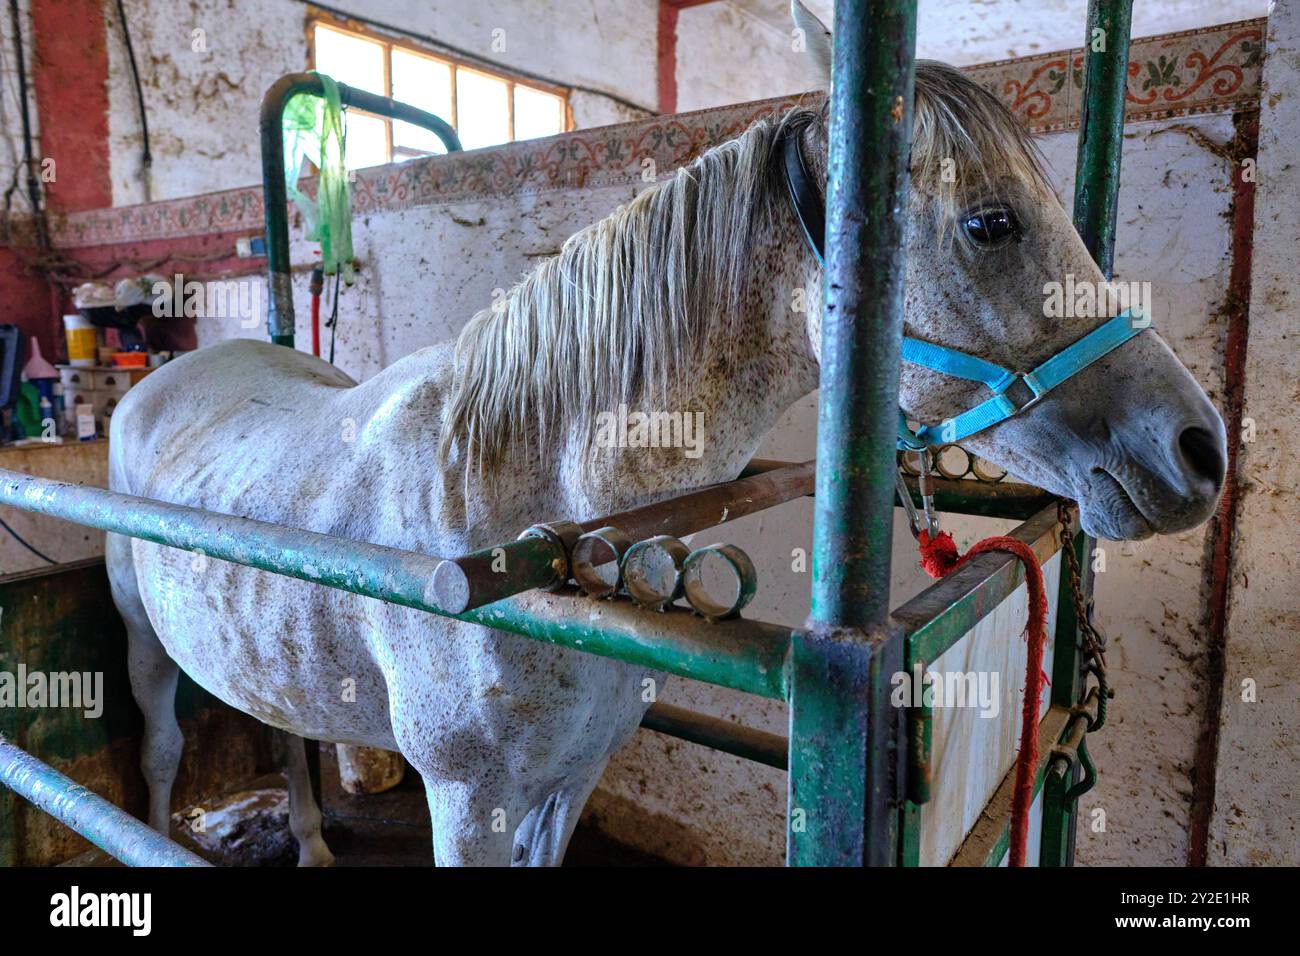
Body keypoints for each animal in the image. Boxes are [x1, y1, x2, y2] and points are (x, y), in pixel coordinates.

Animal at [106, 2, 1226, 866]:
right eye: (990, 223)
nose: (1198, 449)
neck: (539, 526)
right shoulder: (469, 801)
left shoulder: (569, 777)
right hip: (142, 638)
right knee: (159, 748)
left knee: (282, 732)